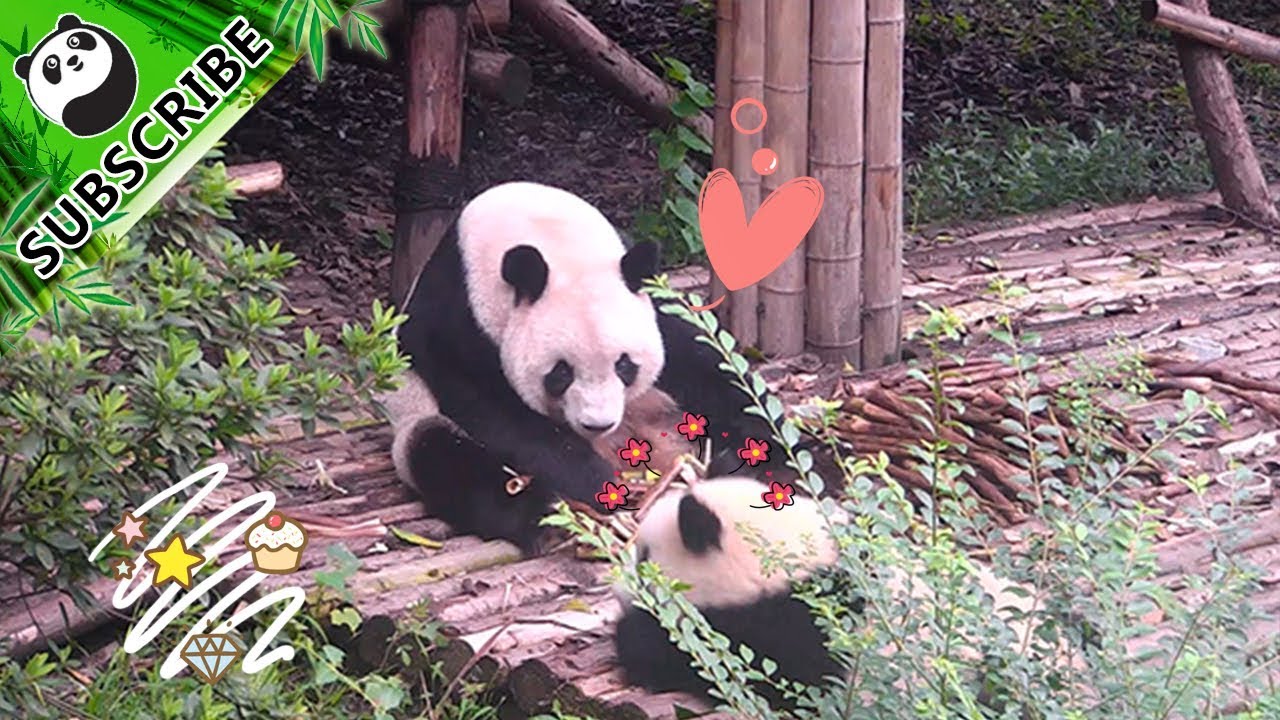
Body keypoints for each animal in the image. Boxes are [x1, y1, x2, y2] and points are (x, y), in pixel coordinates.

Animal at [389, 181, 771, 552]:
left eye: (624, 366)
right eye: (561, 372)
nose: (597, 424)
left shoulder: (651, 297)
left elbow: (700, 363)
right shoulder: (456, 319)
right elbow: (489, 405)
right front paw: (592, 479)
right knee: (445, 457)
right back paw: (544, 519)